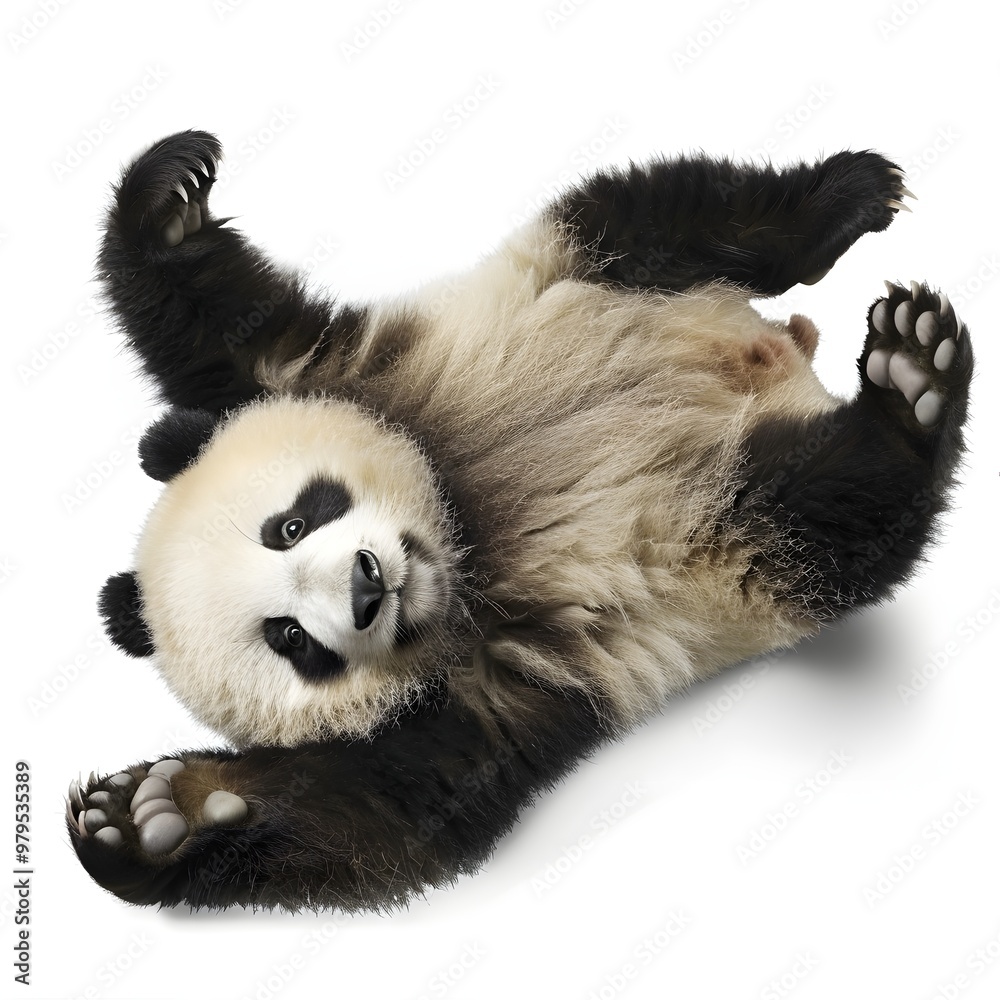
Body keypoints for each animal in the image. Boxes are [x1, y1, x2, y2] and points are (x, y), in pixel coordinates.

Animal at [67, 130, 972, 912]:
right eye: (290, 639)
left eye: (288, 525)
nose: (368, 590)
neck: (464, 528)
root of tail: (783, 365)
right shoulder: (484, 685)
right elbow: (382, 811)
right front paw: (159, 816)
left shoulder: (338, 372)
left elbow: (223, 324)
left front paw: (169, 194)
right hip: (726, 541)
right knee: (830, 518)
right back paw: (905, 396)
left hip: (576, 272)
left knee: (663, 215)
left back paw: (859, 230)